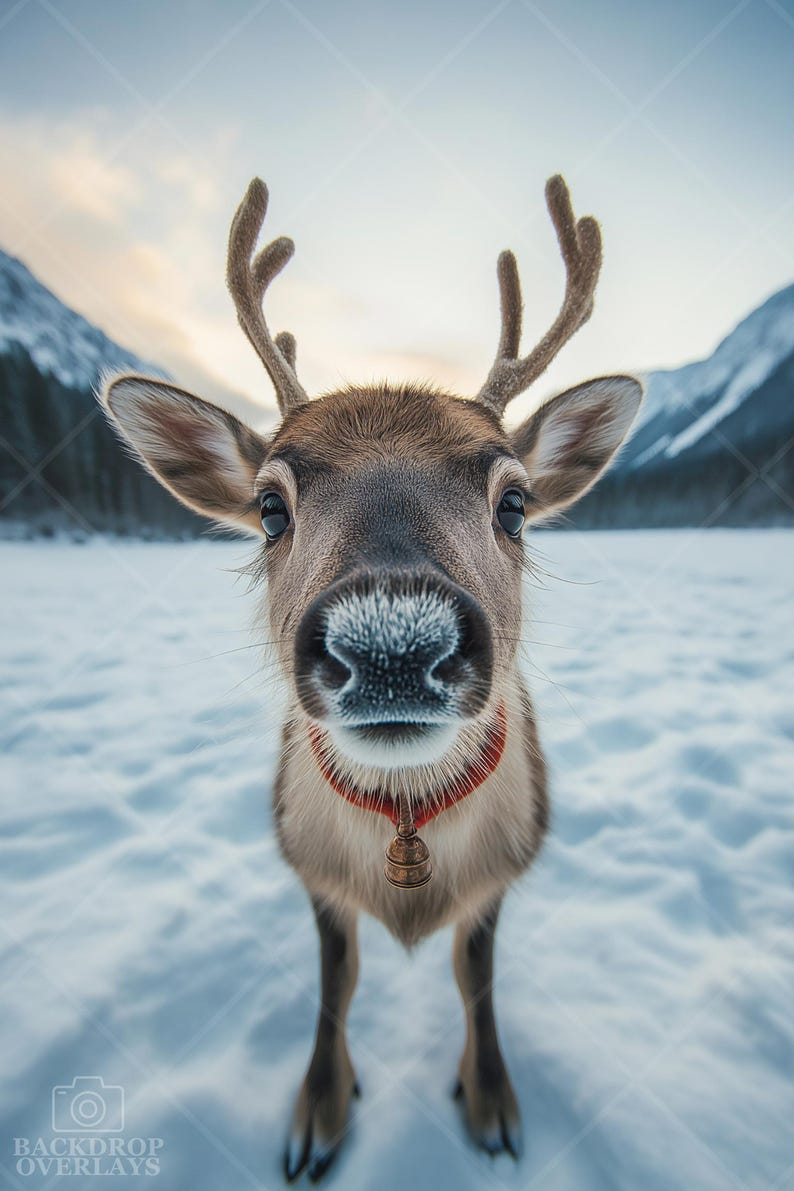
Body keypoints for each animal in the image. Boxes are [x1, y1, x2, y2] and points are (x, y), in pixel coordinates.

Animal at [100, 173, 642, 1182]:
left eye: (515, 501)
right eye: (269, 506)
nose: (393, 641)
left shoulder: (504, 873)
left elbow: (476, 978)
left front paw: (492, 1099)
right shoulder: (308, 867)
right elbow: (336, 980)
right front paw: (318, 1110)